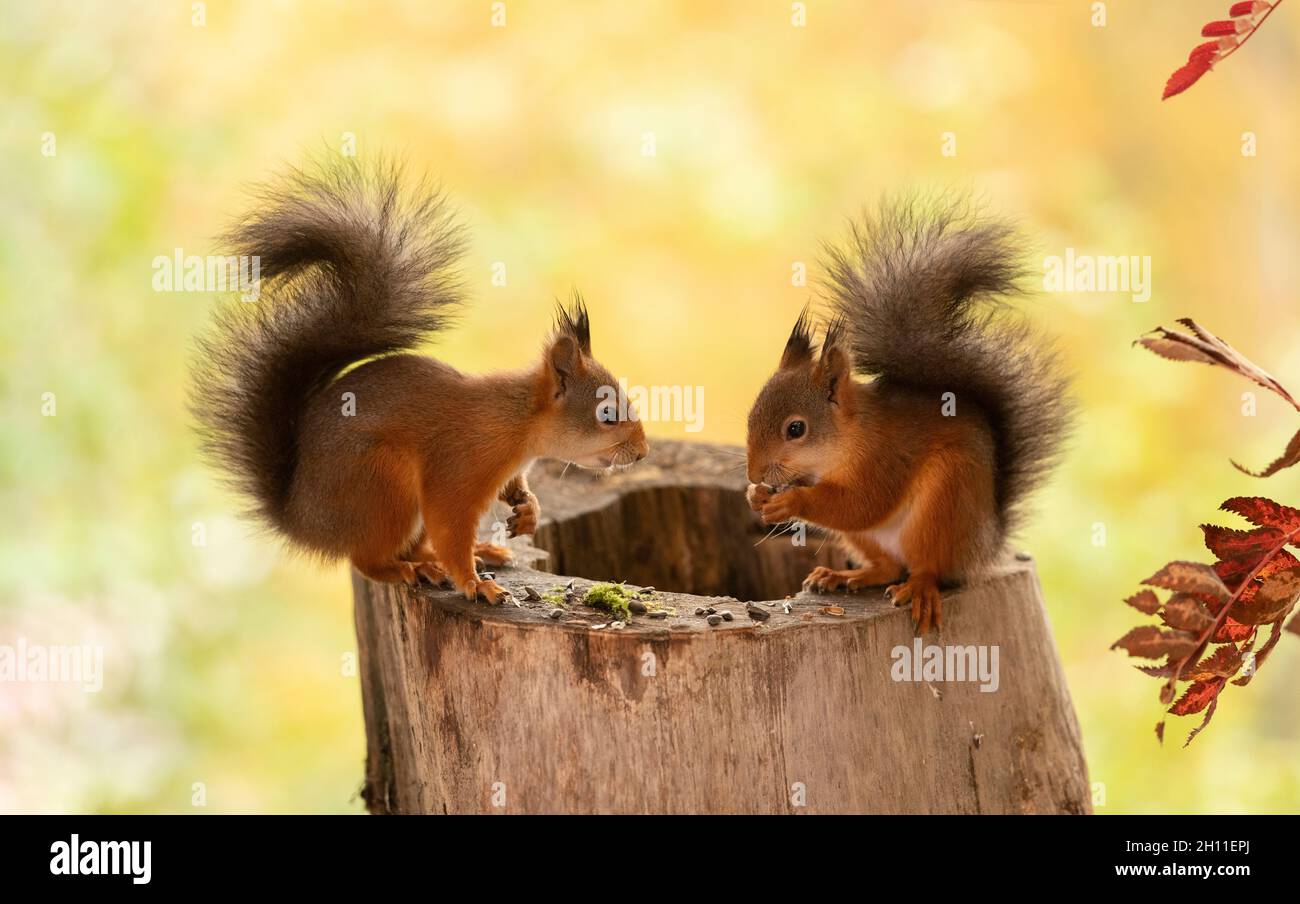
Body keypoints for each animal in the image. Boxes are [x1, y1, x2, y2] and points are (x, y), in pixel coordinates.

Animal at [190, 161, 648, 604]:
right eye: (607, 414)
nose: (642, 452)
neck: (518, 425)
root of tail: (303, 520)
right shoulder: (458, 468)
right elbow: (451, 526)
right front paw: (475, 585)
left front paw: (527, 508)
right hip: (382, 484)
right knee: (368, 560)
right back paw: (412, 569)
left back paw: (475, 552)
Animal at [745, 198, 1071, 634]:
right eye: (751, 415)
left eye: (796, 429)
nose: (753, 473)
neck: (847, 437)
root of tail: (983, 545)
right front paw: (756, 496)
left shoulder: (886, 456)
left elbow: (862, 504)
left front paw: (790, 501)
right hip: (867, 539)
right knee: (887, 566)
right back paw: (844, 575)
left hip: (942, 507)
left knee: (926, 567)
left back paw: (919, 588)